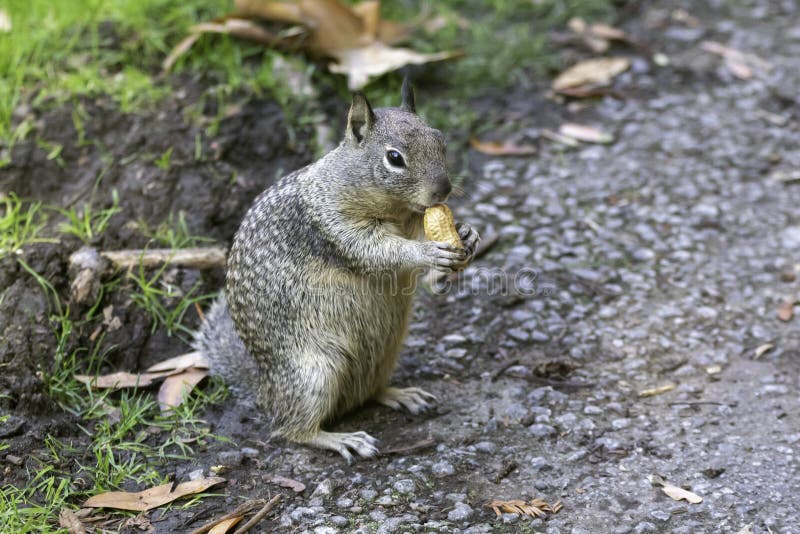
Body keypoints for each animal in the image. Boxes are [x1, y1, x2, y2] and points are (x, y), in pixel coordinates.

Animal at [194, 79, 480, 462]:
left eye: (441, 140)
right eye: (394, 158)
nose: (444, 190)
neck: (397, 210)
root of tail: (265, 389)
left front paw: (467, 233)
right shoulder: (333, 224)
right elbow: (375, 250)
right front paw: (427, 252)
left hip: (386, 353)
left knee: (368, 392)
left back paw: (402, 395)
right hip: (314, 374)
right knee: (293, 429)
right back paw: (342, 439)